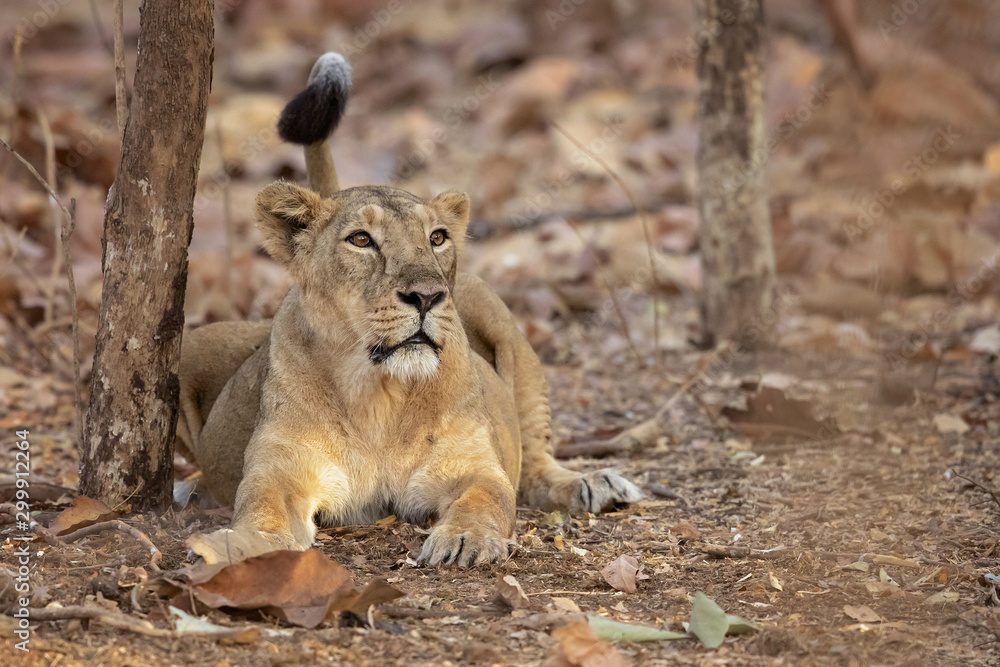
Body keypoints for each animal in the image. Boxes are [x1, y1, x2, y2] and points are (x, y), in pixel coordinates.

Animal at [176, 52, 642, 566]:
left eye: (436, 238)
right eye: (361, 240)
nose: (427, 296)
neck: (379, 394)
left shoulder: (474, 465)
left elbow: (491, 497)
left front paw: (466, 540)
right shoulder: (280, 471)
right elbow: (263, 507)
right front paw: (238, 544)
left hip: (501, 320)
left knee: (535, 464)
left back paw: (594, 484)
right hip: (189, 348)